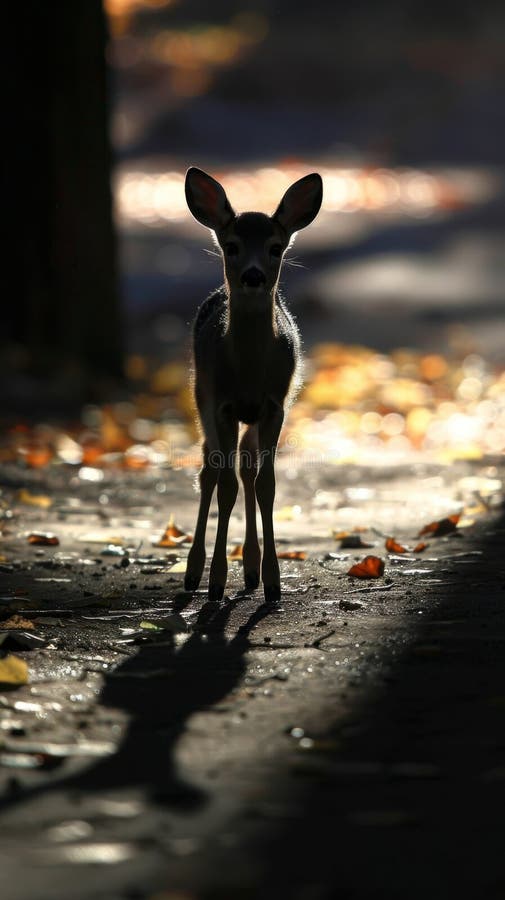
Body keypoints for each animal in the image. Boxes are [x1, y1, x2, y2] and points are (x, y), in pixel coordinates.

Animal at [183, 166, 323, 603]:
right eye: (232, 246)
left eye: (276, 247)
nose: (253, 274)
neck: (247, 371)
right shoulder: (222, 405)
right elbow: (224, 483)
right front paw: (215, 582)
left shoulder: (275, 405)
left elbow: (266, 484)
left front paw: (273, 582)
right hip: (201, 394)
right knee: (209, 470)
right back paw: (193, 574)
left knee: (245, 464)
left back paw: (250, 571)